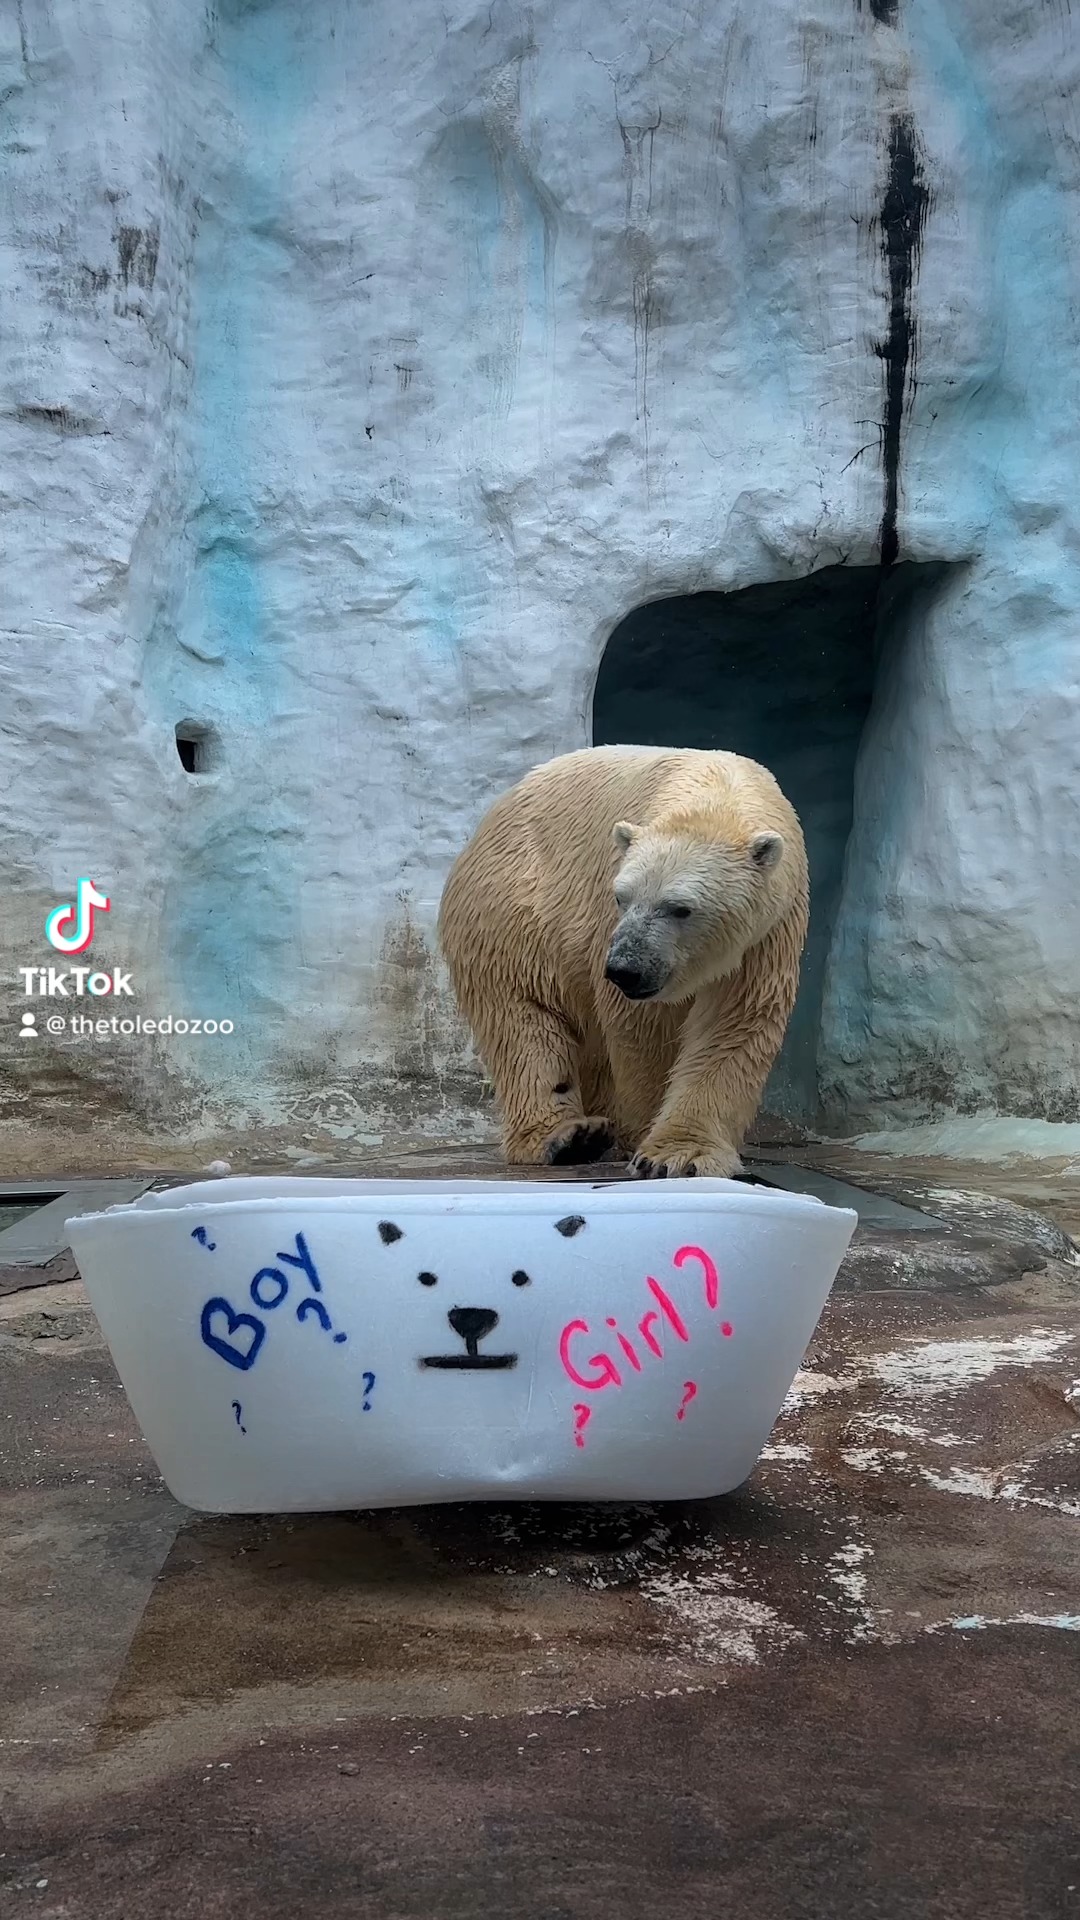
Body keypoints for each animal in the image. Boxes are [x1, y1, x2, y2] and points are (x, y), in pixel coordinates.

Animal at [438, 745, 809, 1179]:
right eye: (622, 897)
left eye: (680, 908)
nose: (624, 970)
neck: (719, 792)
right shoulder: (603, 917)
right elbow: (643, 1029)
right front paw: (646, 1137)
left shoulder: (766, 933)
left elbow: (734, 1022)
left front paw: (680, 1154)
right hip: (513, 909)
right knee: (524, 1020)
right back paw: (567, 1137)